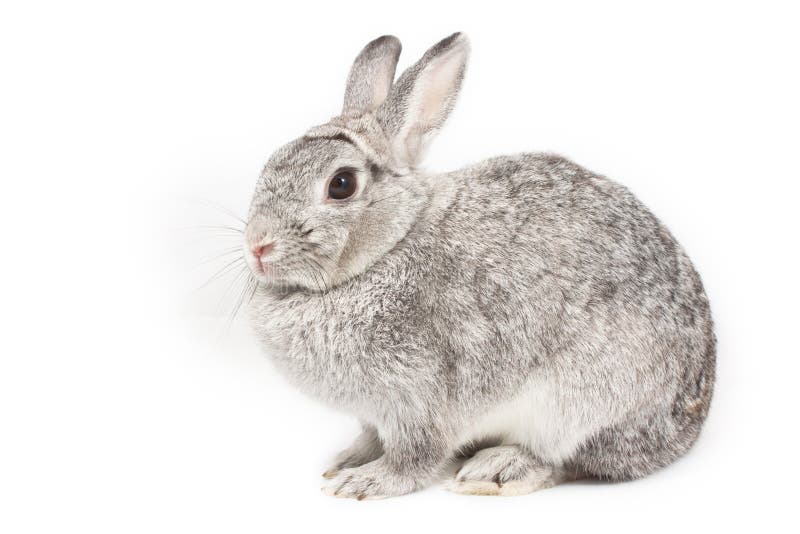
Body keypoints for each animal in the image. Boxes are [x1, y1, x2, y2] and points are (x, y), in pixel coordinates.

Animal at [242, 32, 716, 499]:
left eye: (341, 184)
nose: (257, 246)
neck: (393, 242)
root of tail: (689, 429)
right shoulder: (376, 412)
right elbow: (370, 436)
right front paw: (347, 460)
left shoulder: (418, 395)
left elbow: (414, 456)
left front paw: (365, 482)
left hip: (583, 401)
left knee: (568, 460)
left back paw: (497, 469)